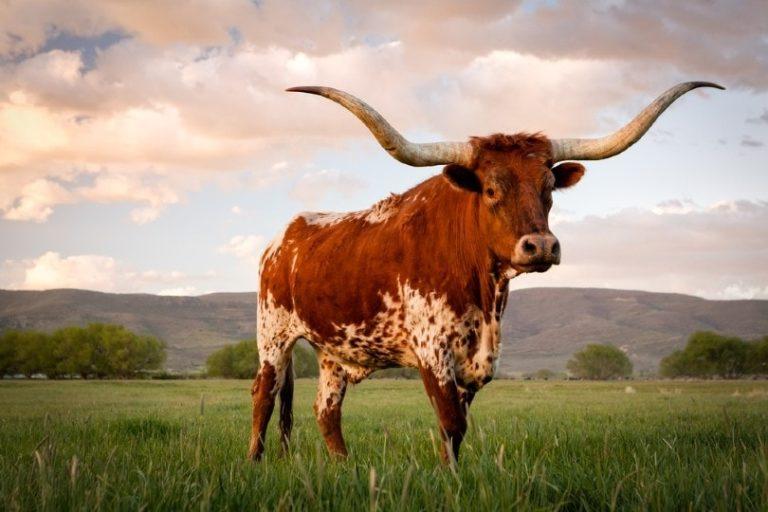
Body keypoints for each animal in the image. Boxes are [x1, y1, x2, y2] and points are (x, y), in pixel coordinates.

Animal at [248, 81, 723, 463]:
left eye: (549, 189)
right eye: (492, 189)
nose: (541, 246)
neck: (484, 292)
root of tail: (282, 238)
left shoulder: (478, 360)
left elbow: (457, 430)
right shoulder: (432, 350)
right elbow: (450, 423)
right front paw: (450, 481)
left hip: (333, 351)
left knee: (326, 411)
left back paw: (344, 466)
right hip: (273, 336)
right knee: (263, 397)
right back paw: (255, 463)